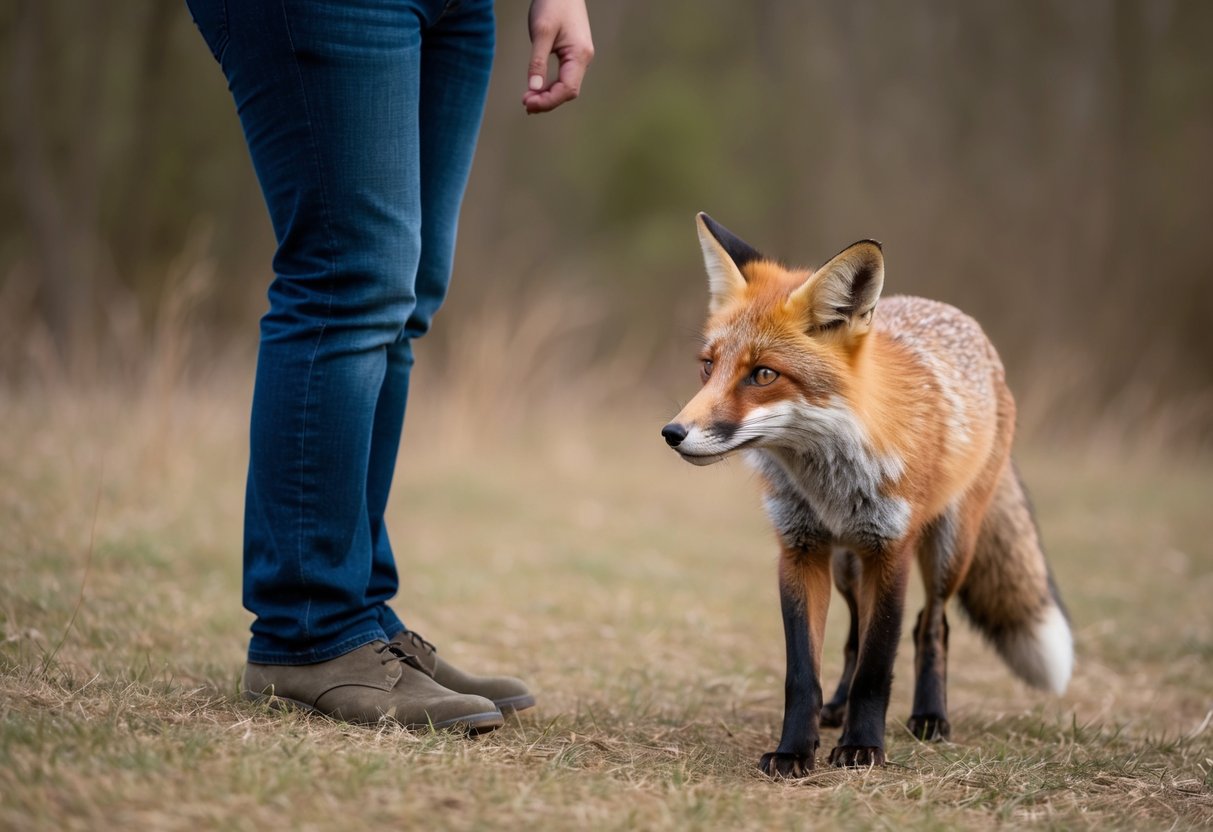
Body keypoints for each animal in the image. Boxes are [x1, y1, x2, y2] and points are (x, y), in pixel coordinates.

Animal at [662, 213, 1073, 775]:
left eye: (763, 374)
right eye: (708, 366)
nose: (673, 432)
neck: (829, 482)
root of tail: (955, 315)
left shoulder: (890, 549)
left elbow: (878, 666)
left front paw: (863, 748)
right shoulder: (800, 548)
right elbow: (804, 672)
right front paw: (795, 750)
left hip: (948, 548)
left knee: (931, 626)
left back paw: (929, 717)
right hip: (846, 566)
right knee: (854, 637)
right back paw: (837, 707)